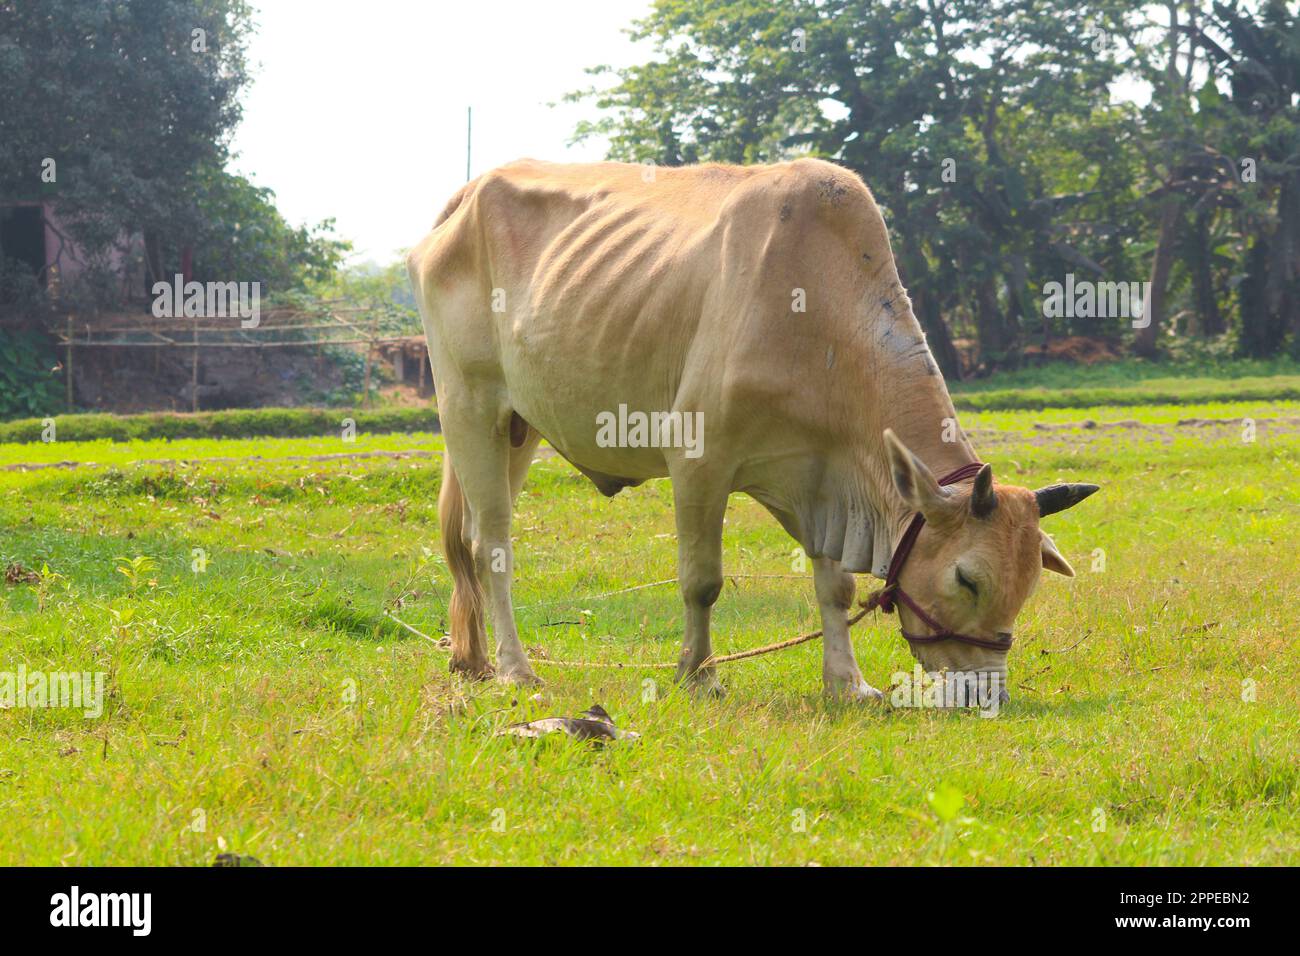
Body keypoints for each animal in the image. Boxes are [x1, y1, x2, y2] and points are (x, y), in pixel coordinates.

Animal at [407, 157, 1097, 700]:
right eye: (967, 579)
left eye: (1028, 584)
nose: (985, 693)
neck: (821, 319)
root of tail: (463, 198)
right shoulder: (698, 461)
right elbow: (702, 581)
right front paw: (698, 674)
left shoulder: (821, 481)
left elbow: (836, 586)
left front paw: (849, 684)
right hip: (469, 405)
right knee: (490, 543)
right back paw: (515, 669)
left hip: (519, 427)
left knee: (467, 539)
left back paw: (471, 660)